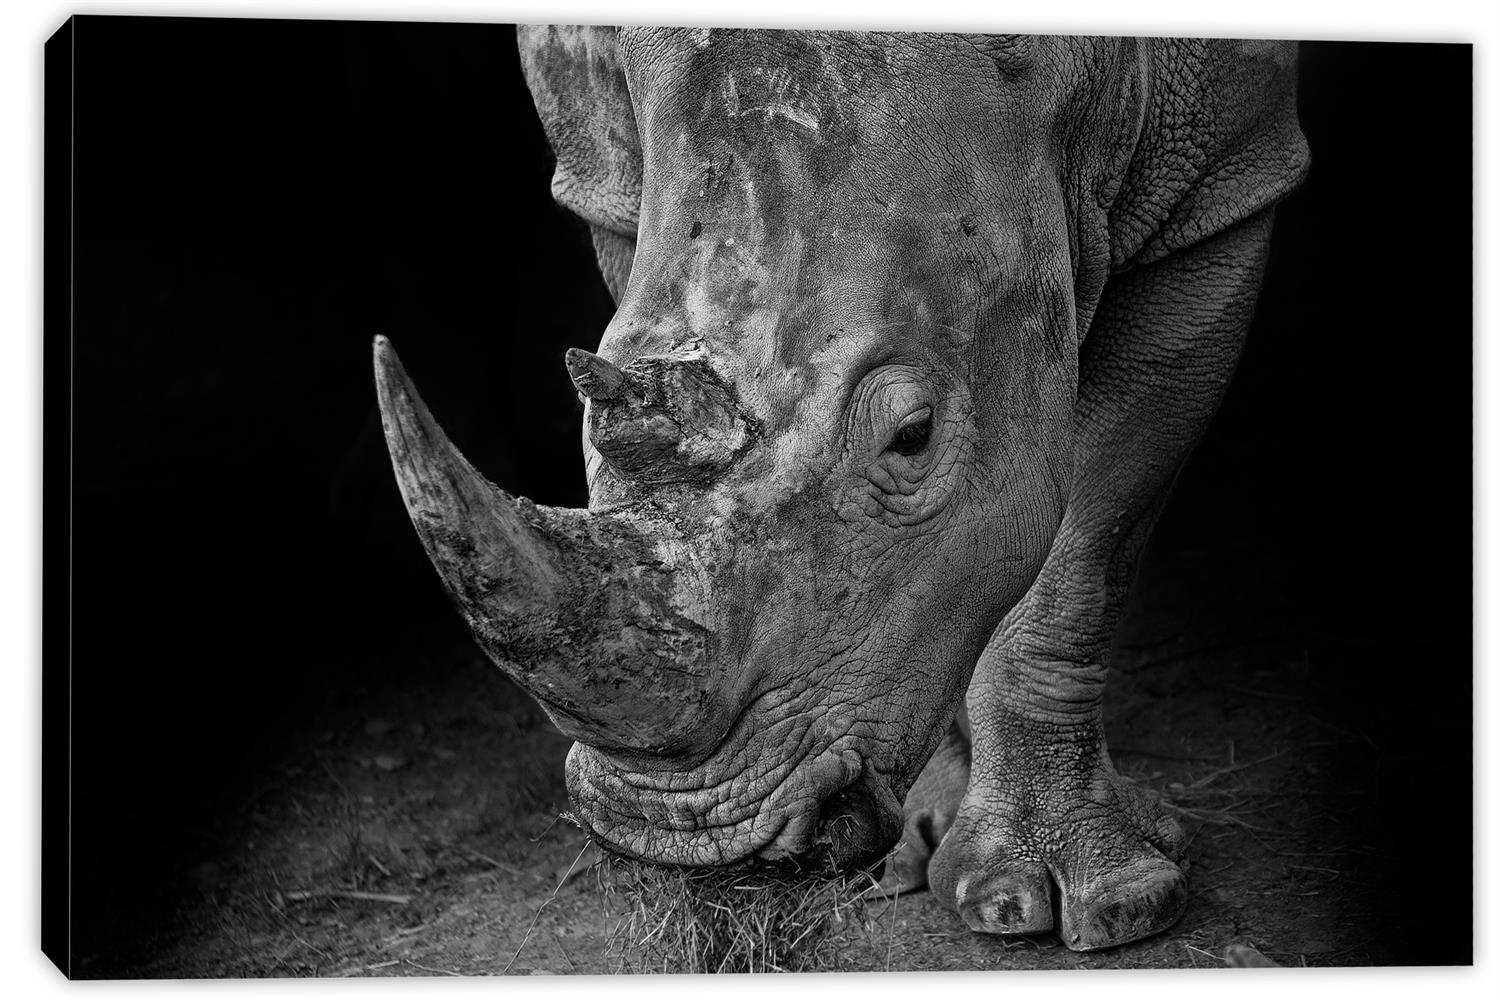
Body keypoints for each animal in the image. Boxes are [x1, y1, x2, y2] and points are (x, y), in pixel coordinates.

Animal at [373, 26, 1308, 952]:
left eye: (914, 435)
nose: (680, 835)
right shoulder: (603, 178)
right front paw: (929, 842)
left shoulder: (1225, 179)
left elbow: (1082, 549)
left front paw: (1110, 901)